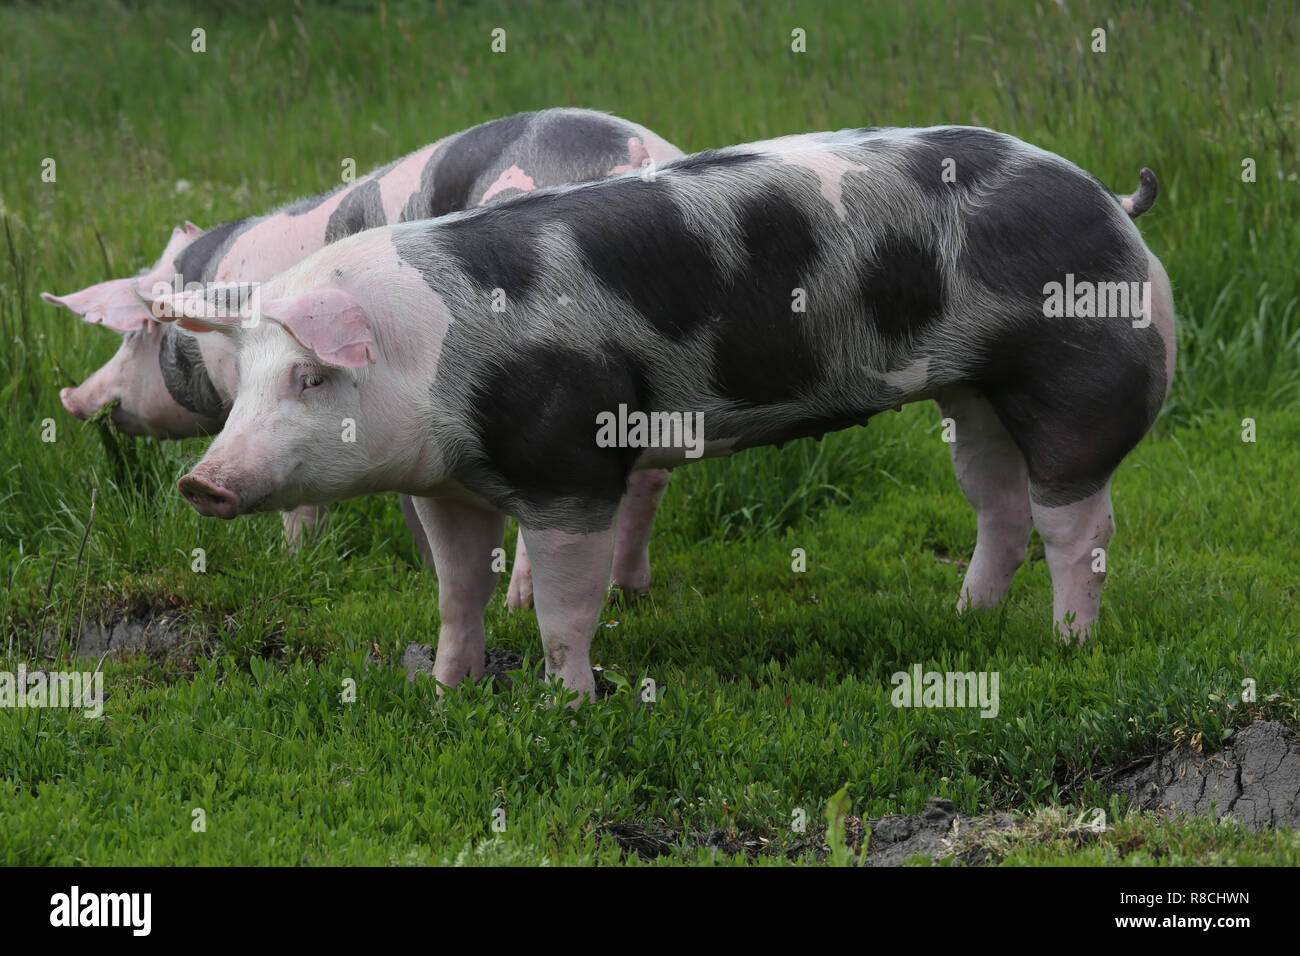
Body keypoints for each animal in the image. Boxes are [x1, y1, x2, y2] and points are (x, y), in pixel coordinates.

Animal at [42, 108, 683, 595]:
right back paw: (628, 589)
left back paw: (519, 602)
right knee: (647, 481)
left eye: (133, 335)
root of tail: (630, 155)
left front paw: (294, 562)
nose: (73, 398)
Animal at [150, 125, 1176, 703]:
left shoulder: (569, 468)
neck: (433, 357)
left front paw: (568, 708)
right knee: (998, 507)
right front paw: (446, 696)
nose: (201, 483)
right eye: (248, 380)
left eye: (313, 377)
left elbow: (566, 606)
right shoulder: (447, 484)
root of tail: (1113, 205)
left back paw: (1069, 645)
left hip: (1079, 379)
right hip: (972, 395)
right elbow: (455, 592)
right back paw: (966, 620)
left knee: (1080, 523)